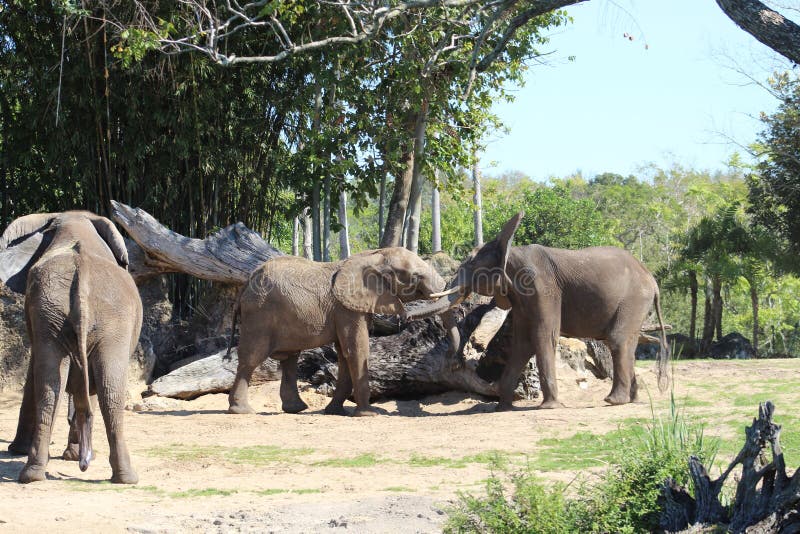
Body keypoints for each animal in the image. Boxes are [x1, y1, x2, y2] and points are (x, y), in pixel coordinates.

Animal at [225, 247, 458, 417]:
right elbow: (356, 349)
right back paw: (242, 411)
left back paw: (296, 409)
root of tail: (247, 283)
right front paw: (368, 414)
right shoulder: (347, 308)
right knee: (251, 358)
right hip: (259, 315)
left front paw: (336, 412)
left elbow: (344, 353)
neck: (375, 255)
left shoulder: (351, 308)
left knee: (290, 358)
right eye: (415, 277)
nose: (453, 362)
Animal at [405, 212, 668, 410]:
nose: (456, 363)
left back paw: (614, 401)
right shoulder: (522, 297)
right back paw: (633, 400)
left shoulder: (542, 287)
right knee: (628, 343)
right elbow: (522, 342)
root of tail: (652, 281)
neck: (510, 248)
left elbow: (543, 336)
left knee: (618, 340)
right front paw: (502, 407)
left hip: (634, 300)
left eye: (470, 264)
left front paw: (549, 407)